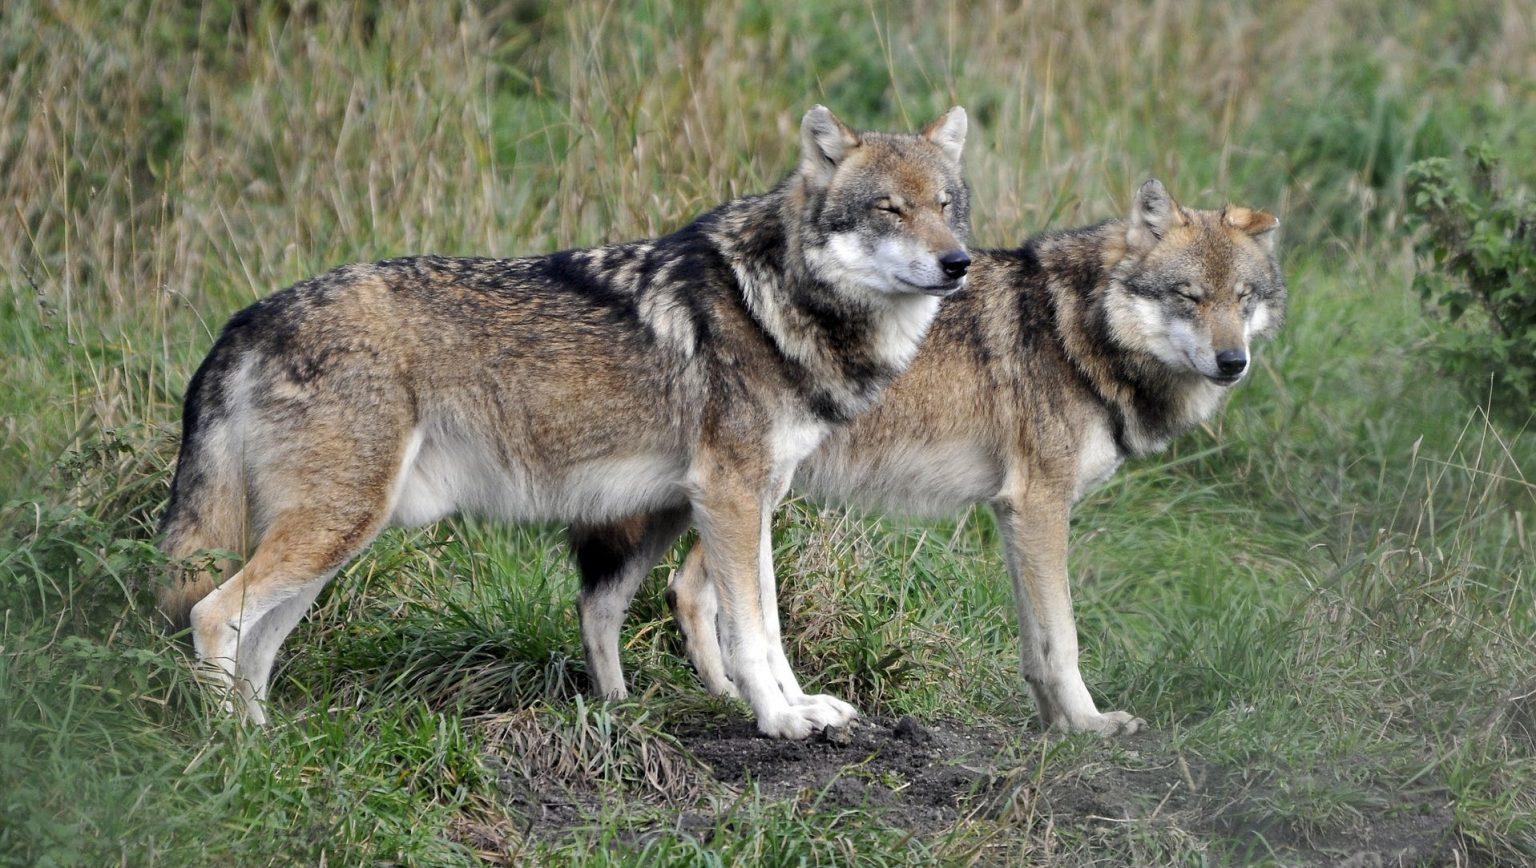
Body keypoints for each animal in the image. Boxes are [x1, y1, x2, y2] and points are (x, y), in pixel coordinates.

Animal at [157, 105, 973, 739]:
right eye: (889, 209)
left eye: (944, 205)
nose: (958, 263)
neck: (772, 301)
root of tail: (247, 318)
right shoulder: (731, 497)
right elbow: (750, 631)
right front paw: (778, 720)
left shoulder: (756, 499)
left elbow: (766, 625)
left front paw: (802, 707)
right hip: (335, 527)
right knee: (212, 615)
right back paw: (235, 747)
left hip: (335, 541)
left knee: (257, 642)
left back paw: (267, 738)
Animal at [579, 180, 1284, 734]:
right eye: (1189, 296)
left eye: (1244, 297)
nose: (1233, 362)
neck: (1074, 333)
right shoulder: (1039, 505)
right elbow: (1063, 640)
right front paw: (1089, 724)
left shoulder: (1015, 515)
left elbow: (1036, 644)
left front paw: (1055, 726)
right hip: (736, 496)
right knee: (667, 593)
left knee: (677, 591)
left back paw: (712, 701)